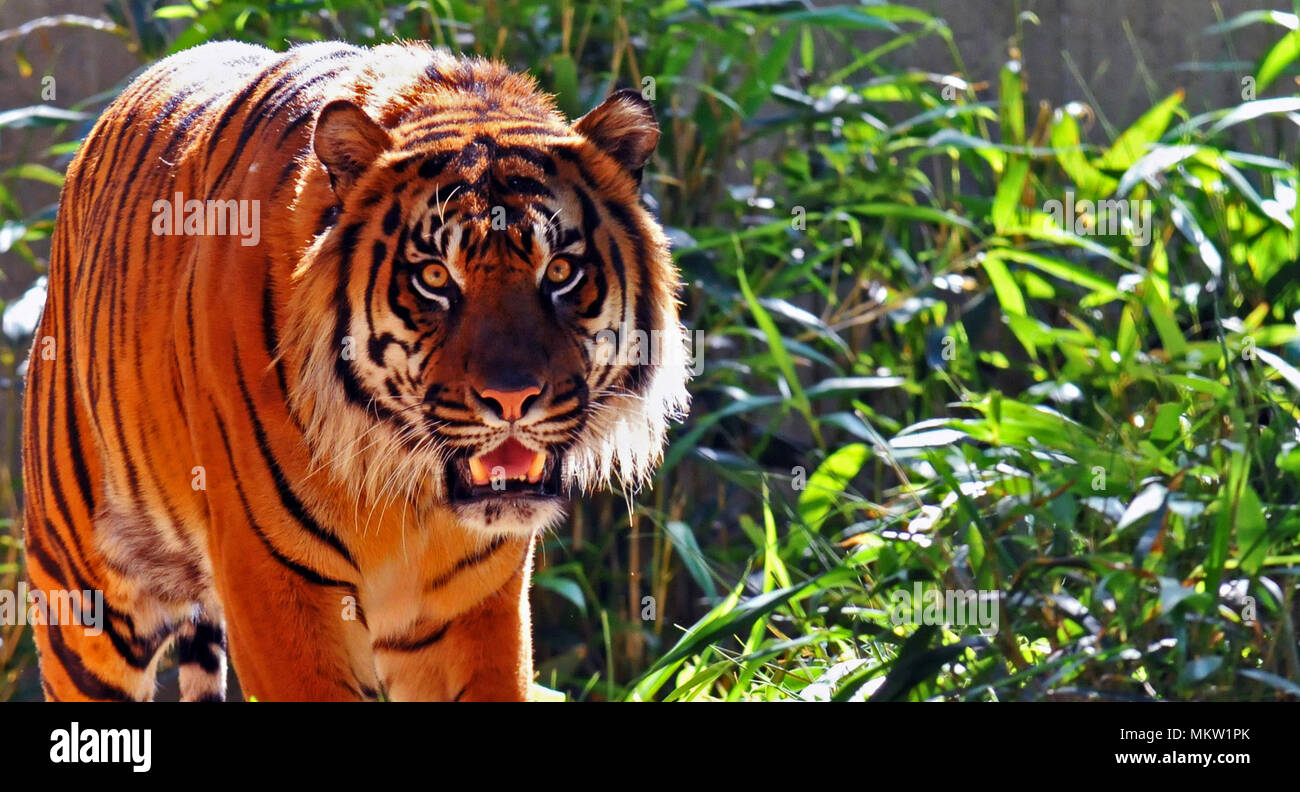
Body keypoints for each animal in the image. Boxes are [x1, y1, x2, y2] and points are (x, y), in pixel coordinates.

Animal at [21, 40, 689, 702]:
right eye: (435, 277)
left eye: (561, 272)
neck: (412, 493)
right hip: (82, 595)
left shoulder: (471, 606)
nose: (512, 398)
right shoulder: (277, 588)